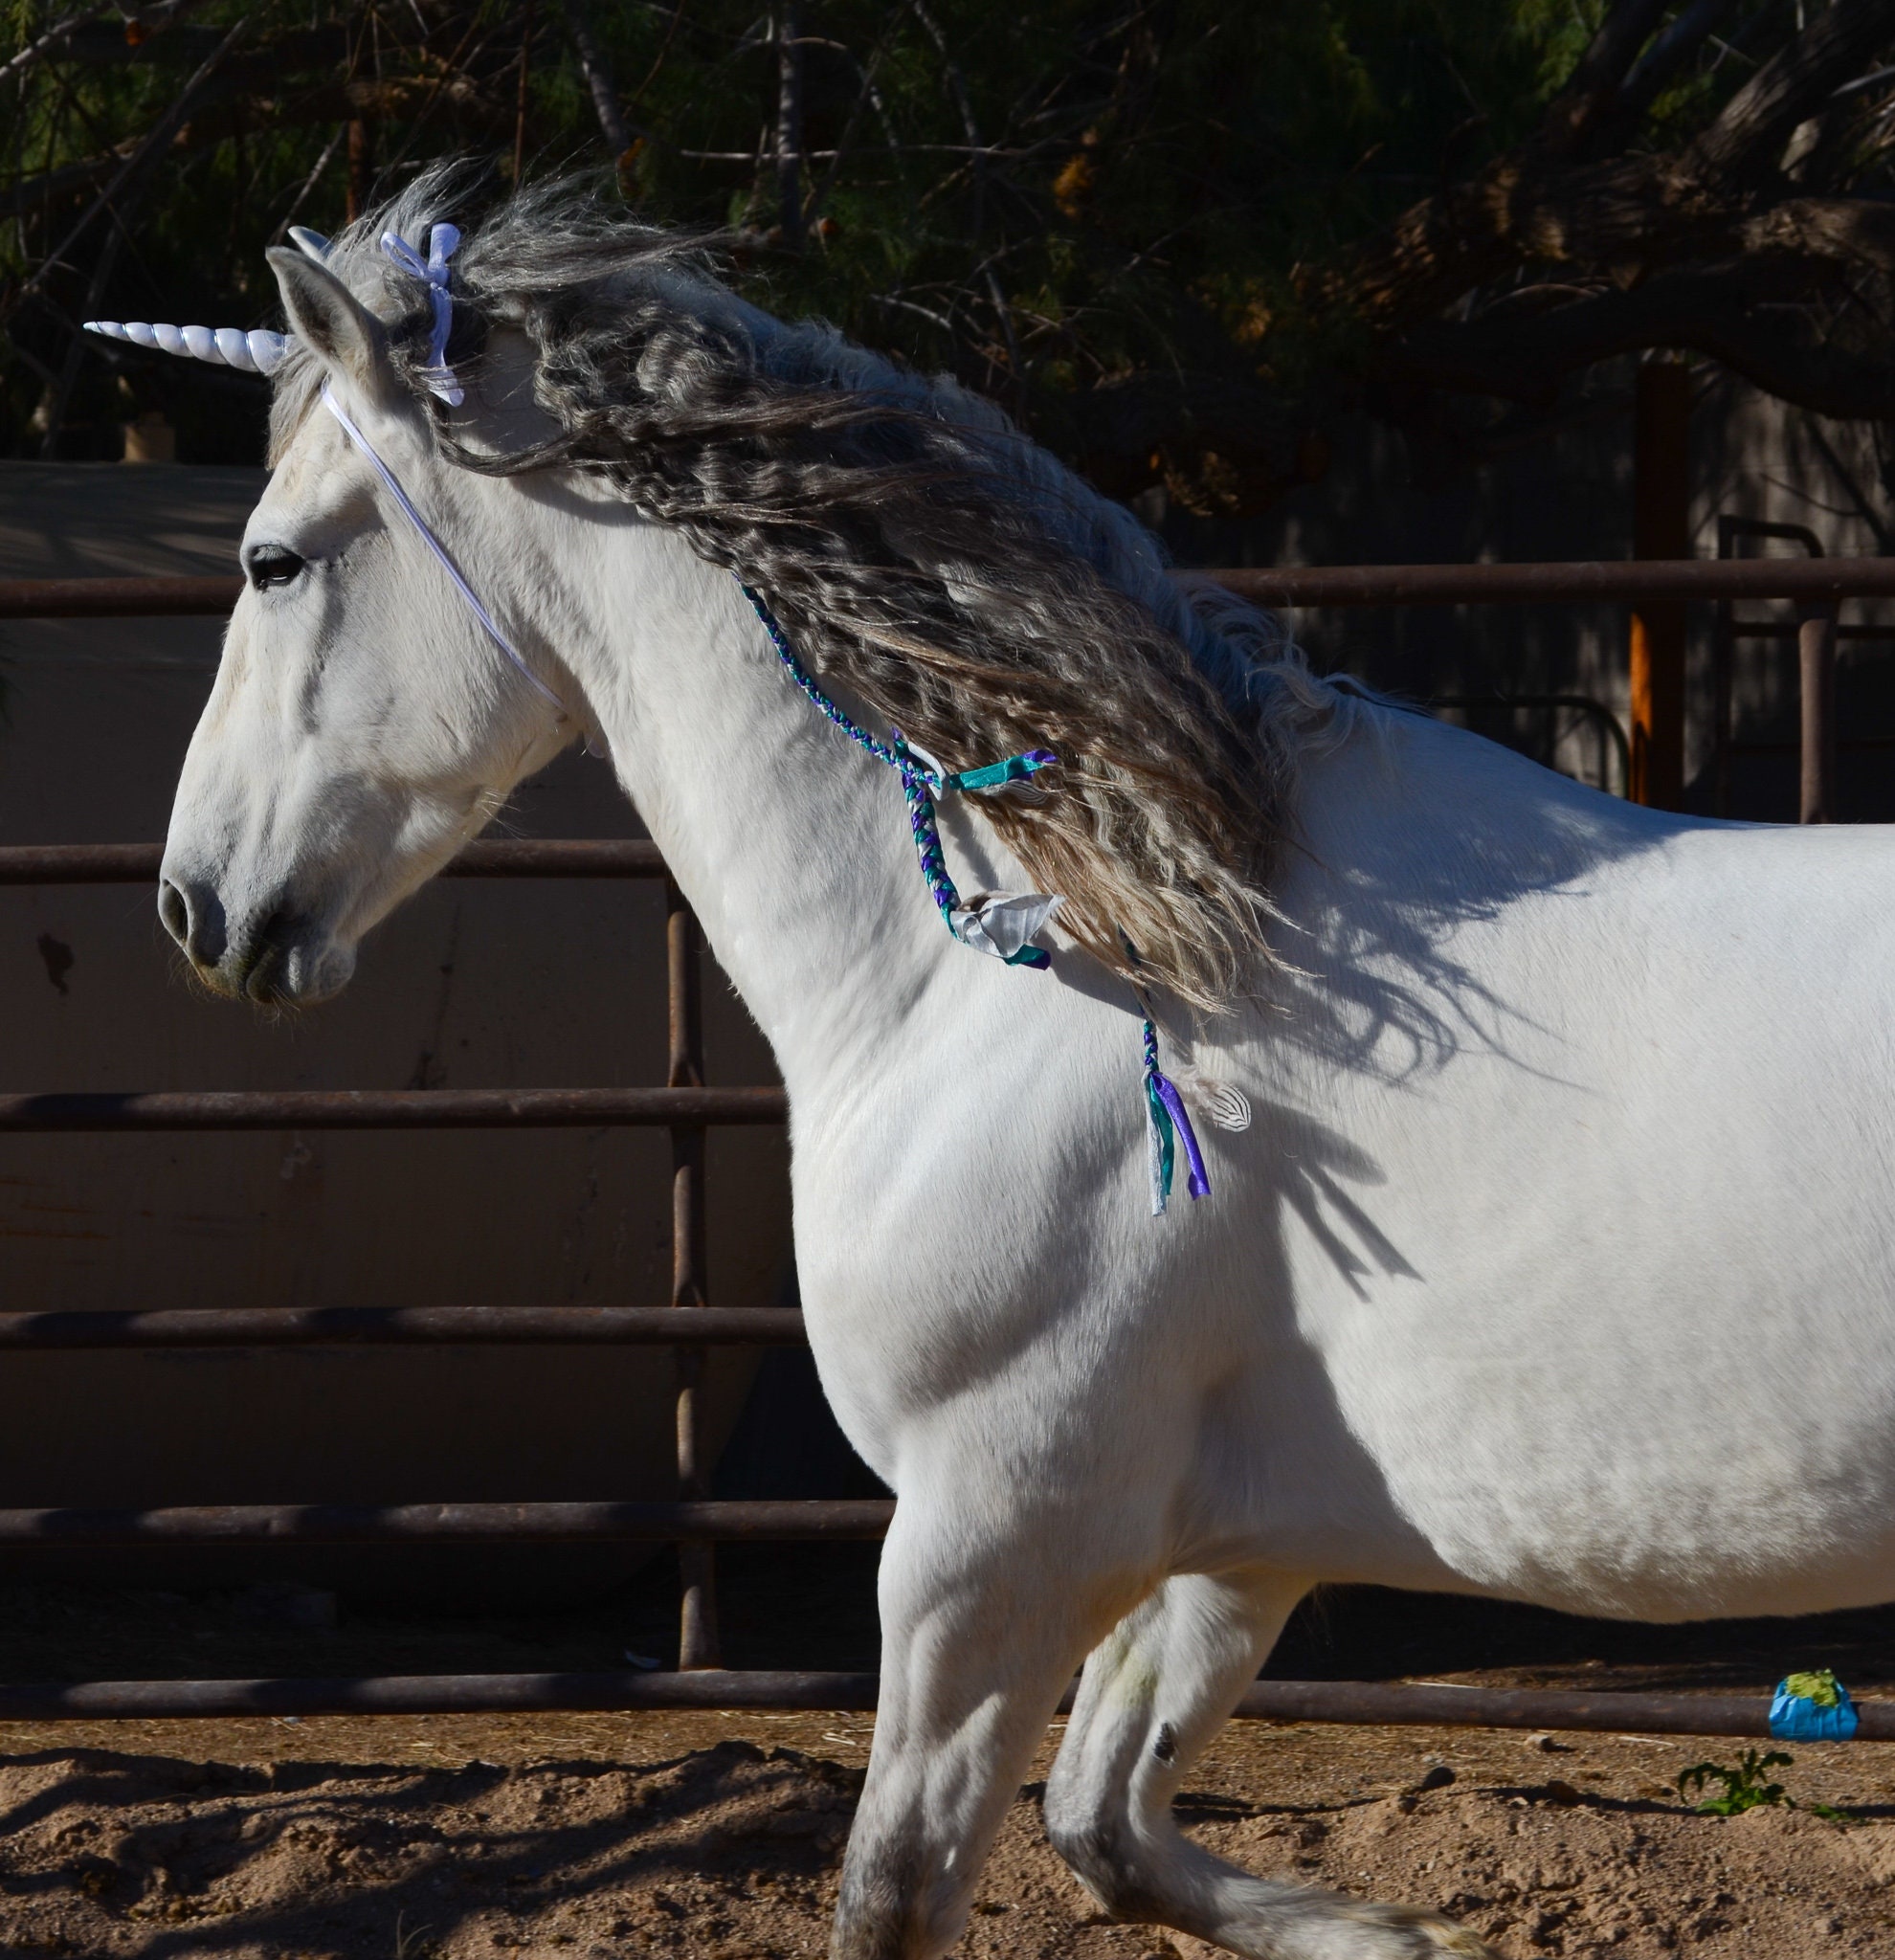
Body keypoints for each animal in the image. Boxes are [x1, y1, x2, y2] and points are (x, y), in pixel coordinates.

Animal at [125, 173, 1895, 1960]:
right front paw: (1388, 1935)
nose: (196, 904)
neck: (1103, 948)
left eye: (272, 561)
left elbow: (900, 1889)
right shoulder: (1217, 1554)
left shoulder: (987, 1544)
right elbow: (1105, 1820)